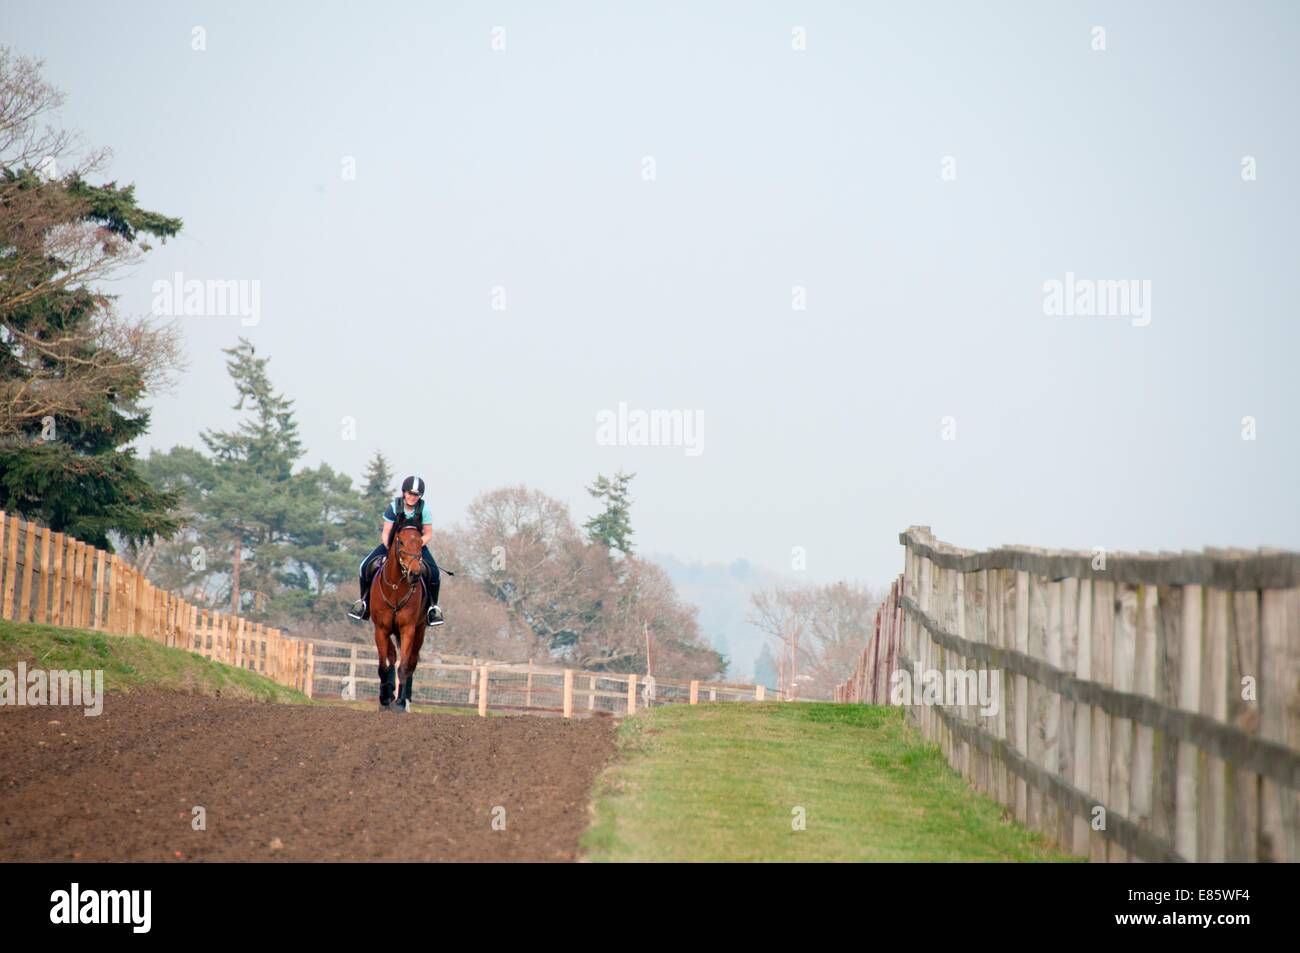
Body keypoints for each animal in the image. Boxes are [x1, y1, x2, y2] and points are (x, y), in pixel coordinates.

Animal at [368, 525, 432, 713]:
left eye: (420, 541)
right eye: (400, 541)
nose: (415, 573)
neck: (396, 587)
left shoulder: (408, 629)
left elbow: (404, 667)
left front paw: (400, 703)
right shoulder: (381, 629)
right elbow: (383, 666)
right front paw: (384, 698)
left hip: (419, 632)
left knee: (411, 662)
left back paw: (404, 699)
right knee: (391, 656)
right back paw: (389, 693)